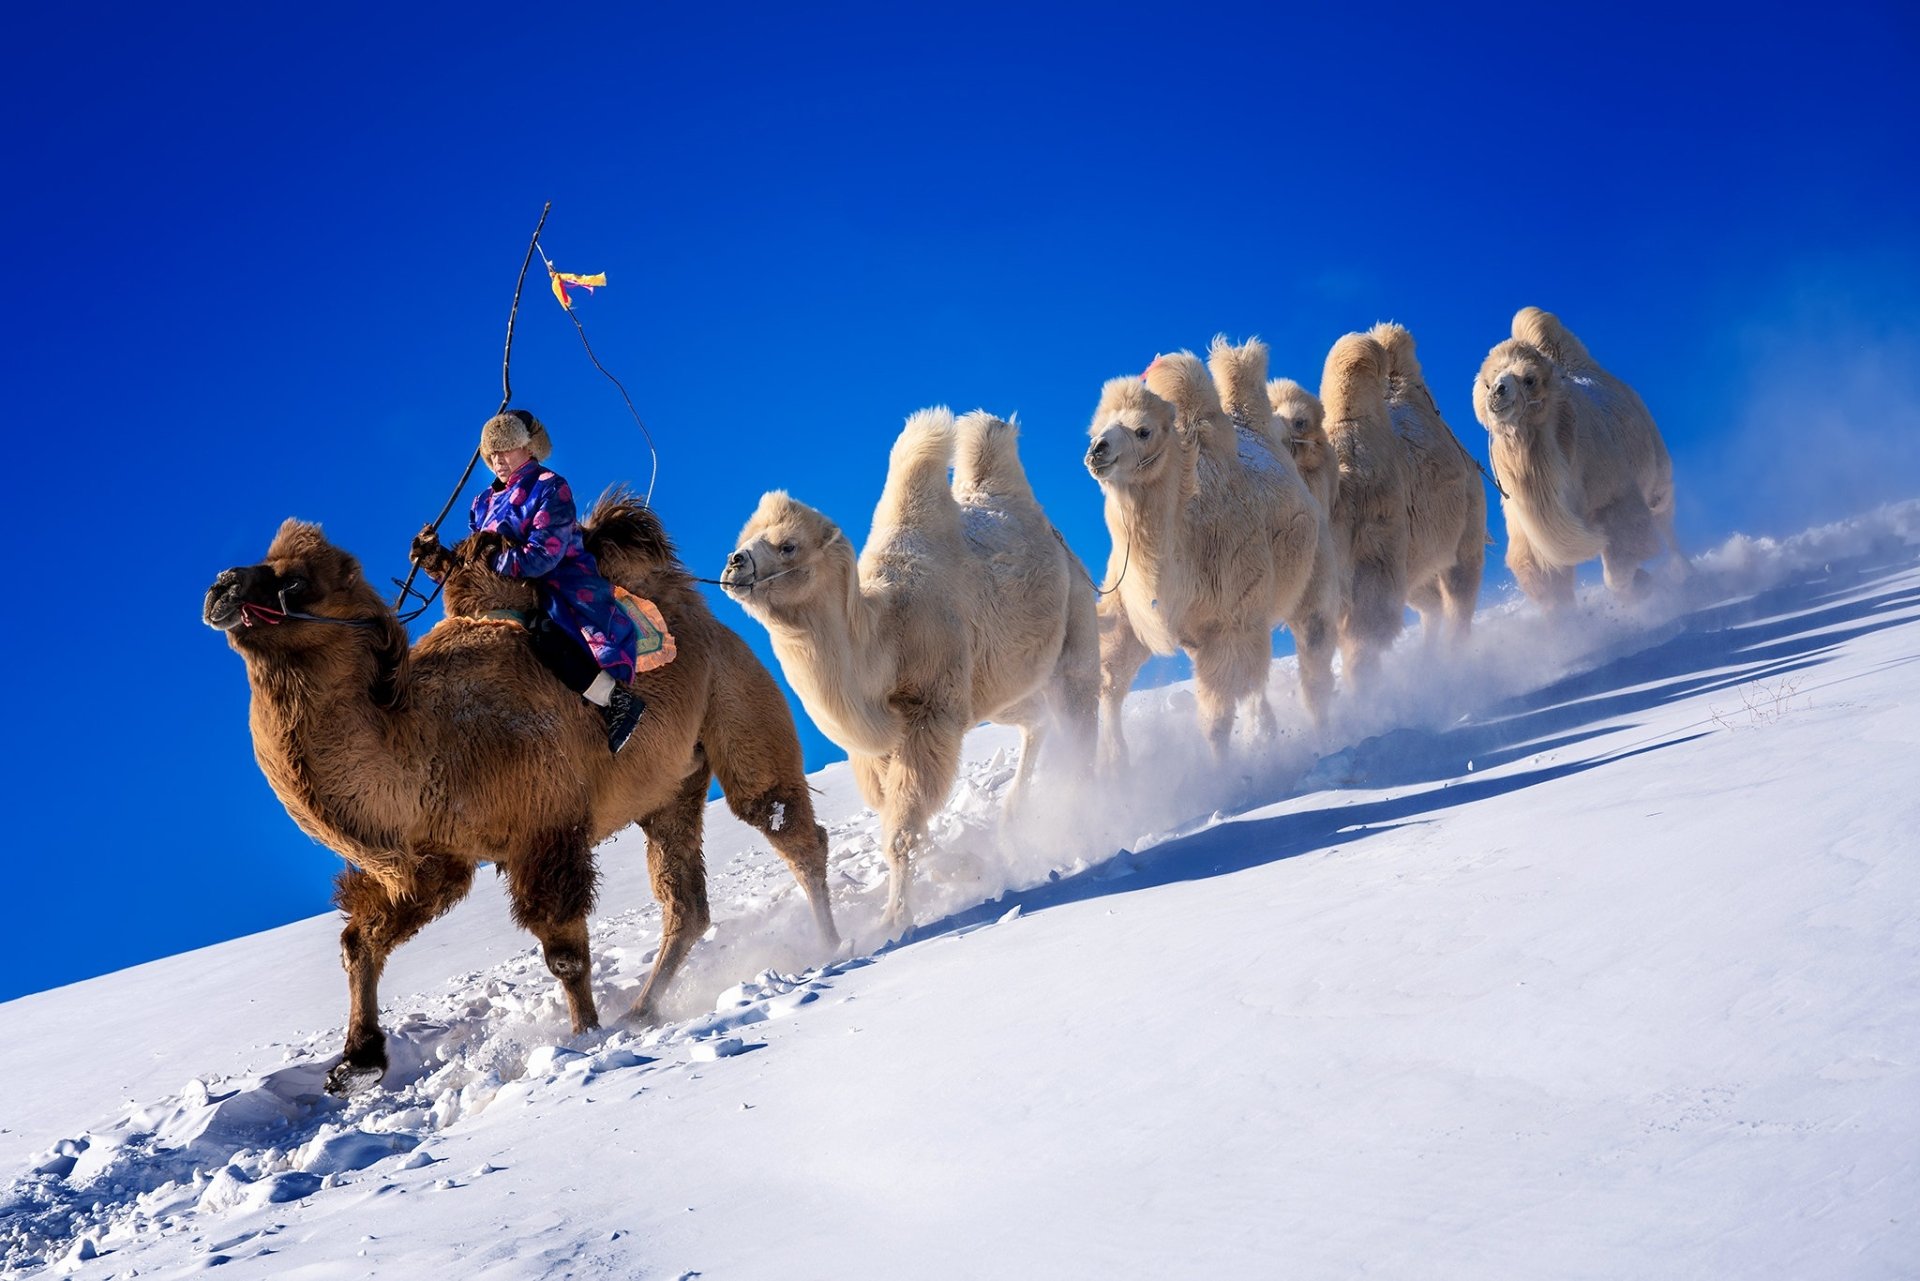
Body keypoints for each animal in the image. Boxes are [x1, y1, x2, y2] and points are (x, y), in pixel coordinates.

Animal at [203, 494, 838, 1093]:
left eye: (294, 581)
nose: (220, 587)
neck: (425, 734)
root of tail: (702, 610)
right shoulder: (433, 862)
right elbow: (359, 938)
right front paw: (356, 1063)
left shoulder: (545, 830)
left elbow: (562, 949)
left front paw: (584, 1037)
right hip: (670, 790)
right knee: (685, 901)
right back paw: (641, 1010)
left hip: (738, 702)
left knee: (785, 824)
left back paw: (833, 942)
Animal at [722, 408, 1097, 937]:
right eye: (745, 539)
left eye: (788, 545)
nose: (735, 563)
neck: (886, 635)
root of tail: (1060, 544)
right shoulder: (880, 746)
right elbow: (894, 816)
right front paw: (952, 870)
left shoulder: (930, 715)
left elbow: (901, 830)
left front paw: (893, 922)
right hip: (998, 688)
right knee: (1035, 720)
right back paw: (1014, 816)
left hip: (1074, 634)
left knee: (1080, 721)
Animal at [1472, 307, 1687, 605]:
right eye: (1487, 383)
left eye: (1529, 379)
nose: (1497, 392)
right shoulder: (1529, 533)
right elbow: (1546, 579)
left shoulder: (1615, 501)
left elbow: (1622, 561)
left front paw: (1640, 585)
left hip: (1658, 476)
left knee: (1666, 522)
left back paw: (1688, 572)